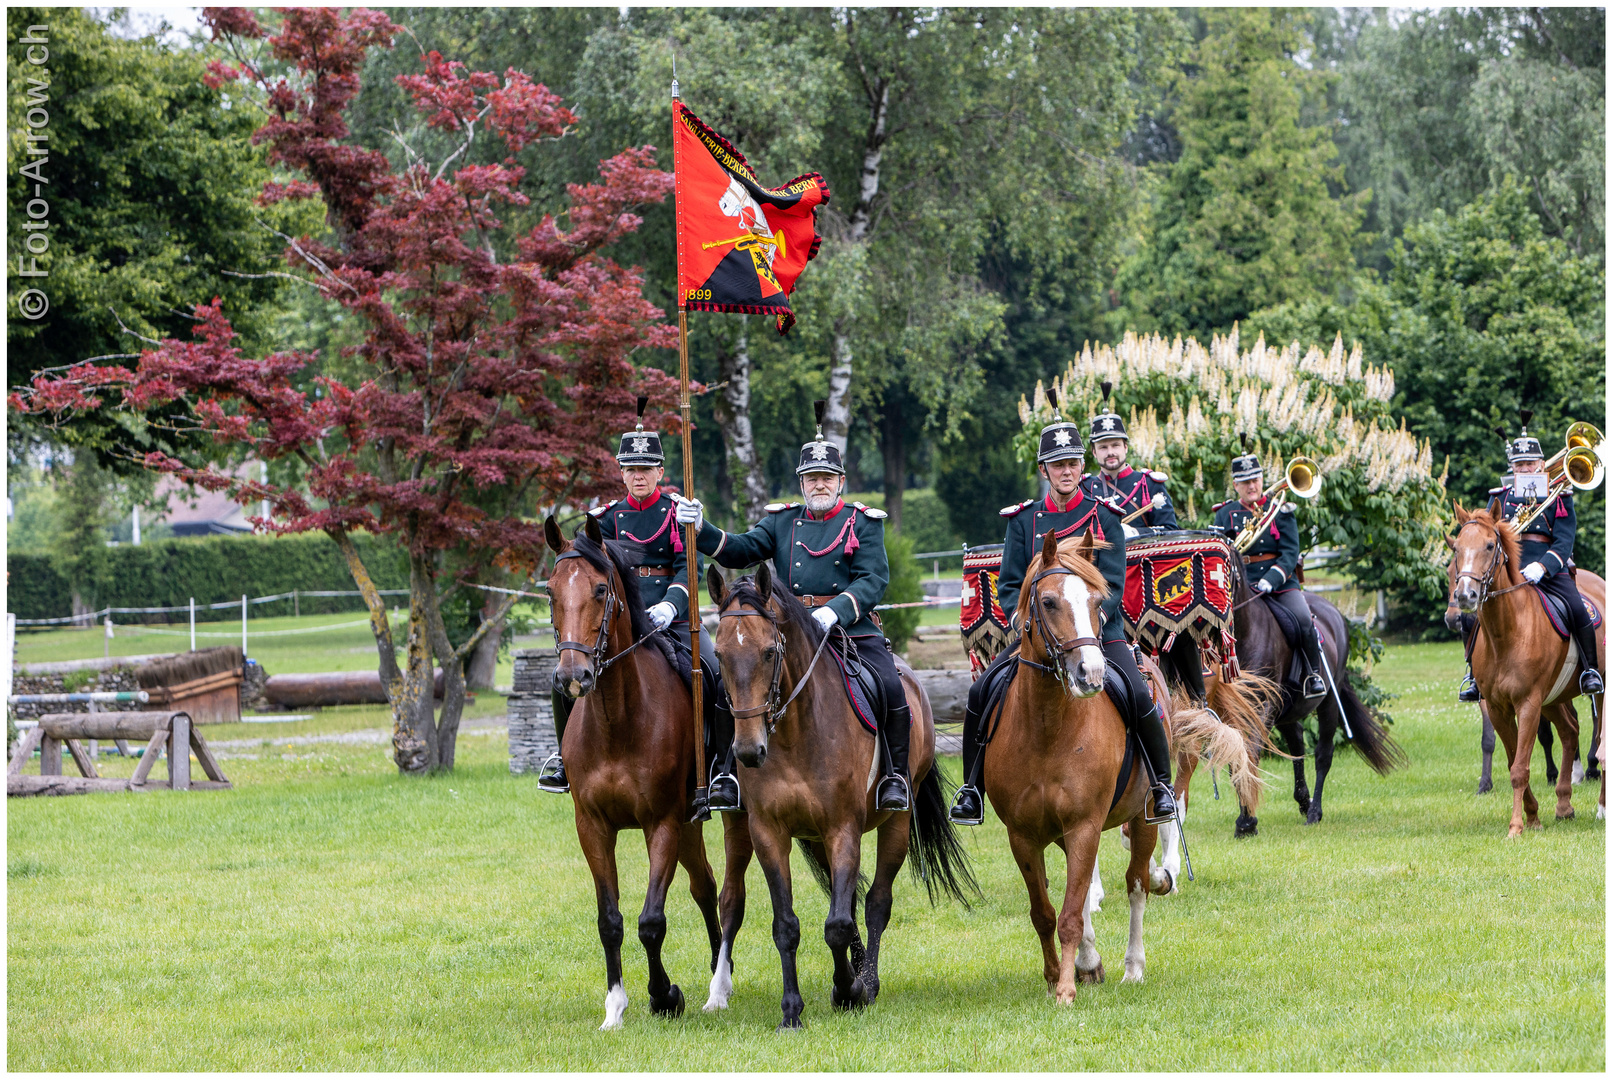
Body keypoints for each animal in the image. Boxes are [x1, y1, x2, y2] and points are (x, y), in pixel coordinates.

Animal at [541, 519, 719, 1038]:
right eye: (550, 591)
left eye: (601, 590)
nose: (573, 676)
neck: (617, 719)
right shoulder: (593, 827)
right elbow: (611, 920)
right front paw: (615, 1006)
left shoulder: (662, 824)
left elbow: (651, 920)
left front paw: (665, 995)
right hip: (688, 829)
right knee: (706, 887)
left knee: (714, 890)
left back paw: (718, 985)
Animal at [709, 567, 980, 1031]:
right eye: (720, 654)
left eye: (768, 652)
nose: (747, 750)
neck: (797, 731)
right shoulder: (769, 833)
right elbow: (787, 925)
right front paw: (791, 1011)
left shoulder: (843, 829)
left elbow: (837, 922)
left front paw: (849, 990)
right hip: (808, 837)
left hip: (894, 824)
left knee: (875, 904)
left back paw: (866, 980)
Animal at [980, 528, 1258, 1005]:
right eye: (1048, 601)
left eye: (1097, 601)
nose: (1090, 674)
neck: (1046, 728)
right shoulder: (1024, 835)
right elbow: (1045, 911)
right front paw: (1059, 973)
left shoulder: (1084, 824)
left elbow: (1073, 912)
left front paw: (1066, 989)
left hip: (1144, 810)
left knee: (1137, 882)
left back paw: (1134, 961)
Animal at [1206, 551, 1406, 838]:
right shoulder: (1233, 712)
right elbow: (1237, 757)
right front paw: (1245, 817)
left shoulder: (1264, 706)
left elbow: (1251, 752)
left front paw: (1247, 821)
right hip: (1289, 710)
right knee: (1298, 743)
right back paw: (1304, 800)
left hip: (1328, 702)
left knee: (1323, 754)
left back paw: (1314, 812)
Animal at [1445, 506, 1606, 838]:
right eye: (1456, 551)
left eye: (1489, 546)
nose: (1465, 596)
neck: (1506, 632)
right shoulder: (1497, 707)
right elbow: (1511, 760)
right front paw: (1533, 816)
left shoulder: (1529, 703)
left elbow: (1520, 766)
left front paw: (1517, 825)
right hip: (1554, 698)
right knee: (1570, 731)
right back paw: (1564, 804)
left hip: (1597, 690)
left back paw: (1601, 807)